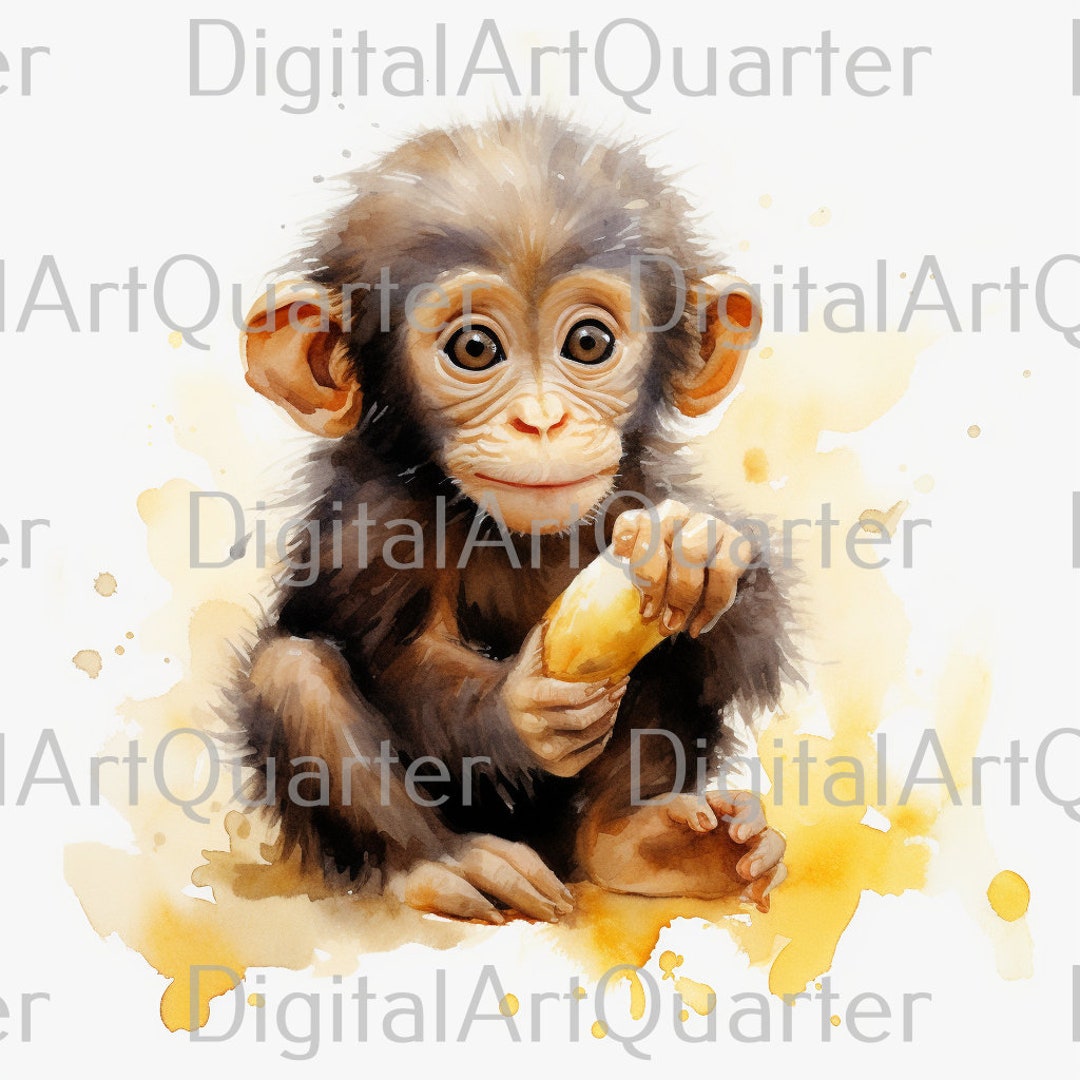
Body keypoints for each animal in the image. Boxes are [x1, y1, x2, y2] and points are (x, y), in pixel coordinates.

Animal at [233, 110, 795, 924]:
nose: (541, 419)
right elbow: (392, 658)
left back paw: (643, 843)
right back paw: (442, 863)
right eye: (475, 348)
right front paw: (521, 709)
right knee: (293, 672)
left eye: (588, 343)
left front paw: (703, 552)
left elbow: (732, 639)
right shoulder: (372, 521)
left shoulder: (634, 491)